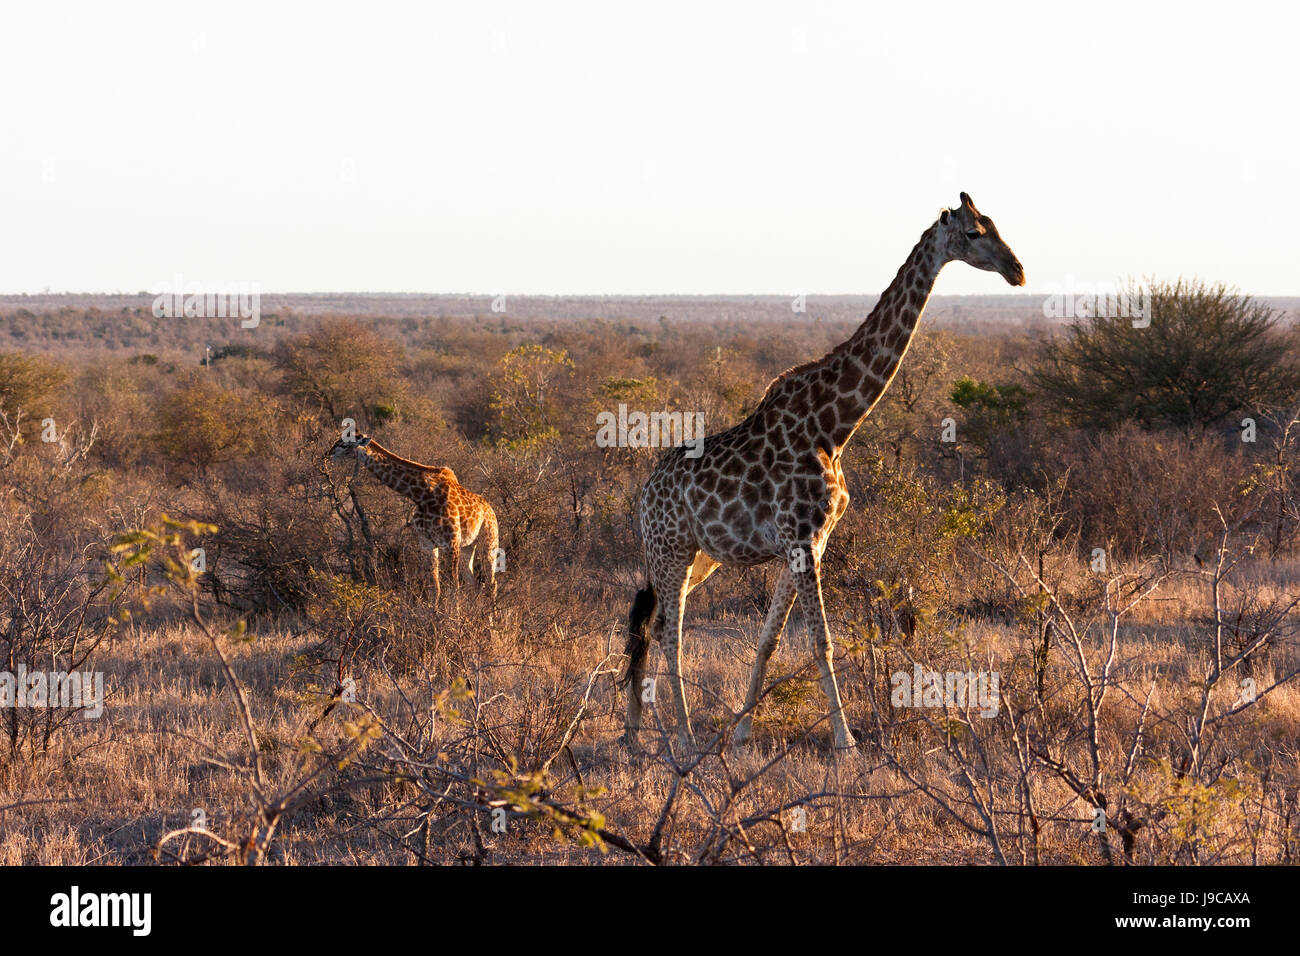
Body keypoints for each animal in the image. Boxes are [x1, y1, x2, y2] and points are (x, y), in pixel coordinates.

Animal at [328, 433, 499, 606]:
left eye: (343, 444)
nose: (328, 454)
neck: (421, 495)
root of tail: (491, 510)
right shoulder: (426, 542)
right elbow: (435, 588)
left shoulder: (451, 543)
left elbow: (454, 588)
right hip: (468, 546)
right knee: (473, 583)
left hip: (489, 541)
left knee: (491, 584)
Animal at [621, 193, 1025, 753]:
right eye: (973, 233)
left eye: (995, 224)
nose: (1018, 271)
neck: (833, 427)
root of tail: (643, 492)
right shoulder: (800, 538)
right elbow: (822, 641)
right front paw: (845, 740)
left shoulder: (814, 539)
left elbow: (770, 639)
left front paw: (743, 731)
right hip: (671, 548)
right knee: (668, 630)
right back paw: (682, 737)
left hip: (701, 558)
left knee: (651, 620)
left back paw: (636, 730)